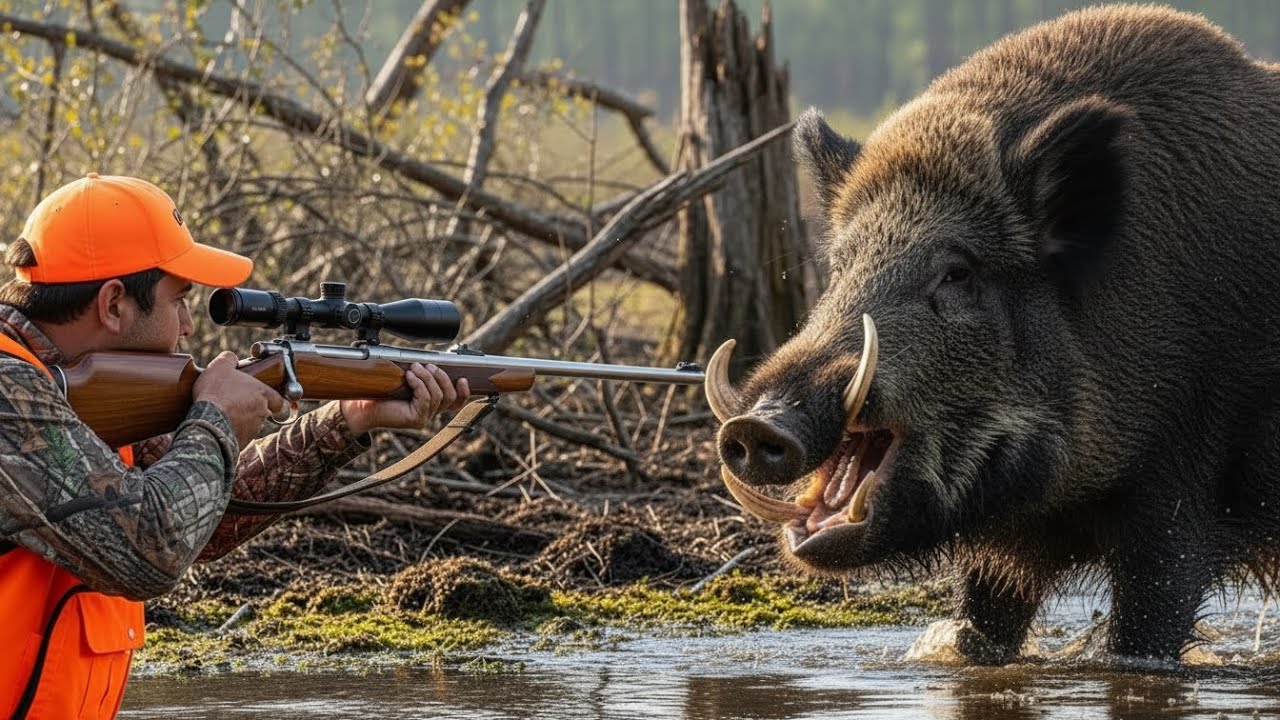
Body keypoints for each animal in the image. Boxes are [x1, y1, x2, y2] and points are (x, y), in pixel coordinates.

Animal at [707, 4, 1280, 665]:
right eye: (841, 265)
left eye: (957, 272)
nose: (755, 425)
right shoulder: (999, 559)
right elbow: (980, 629)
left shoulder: (1180, 494)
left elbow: (1145, 631)